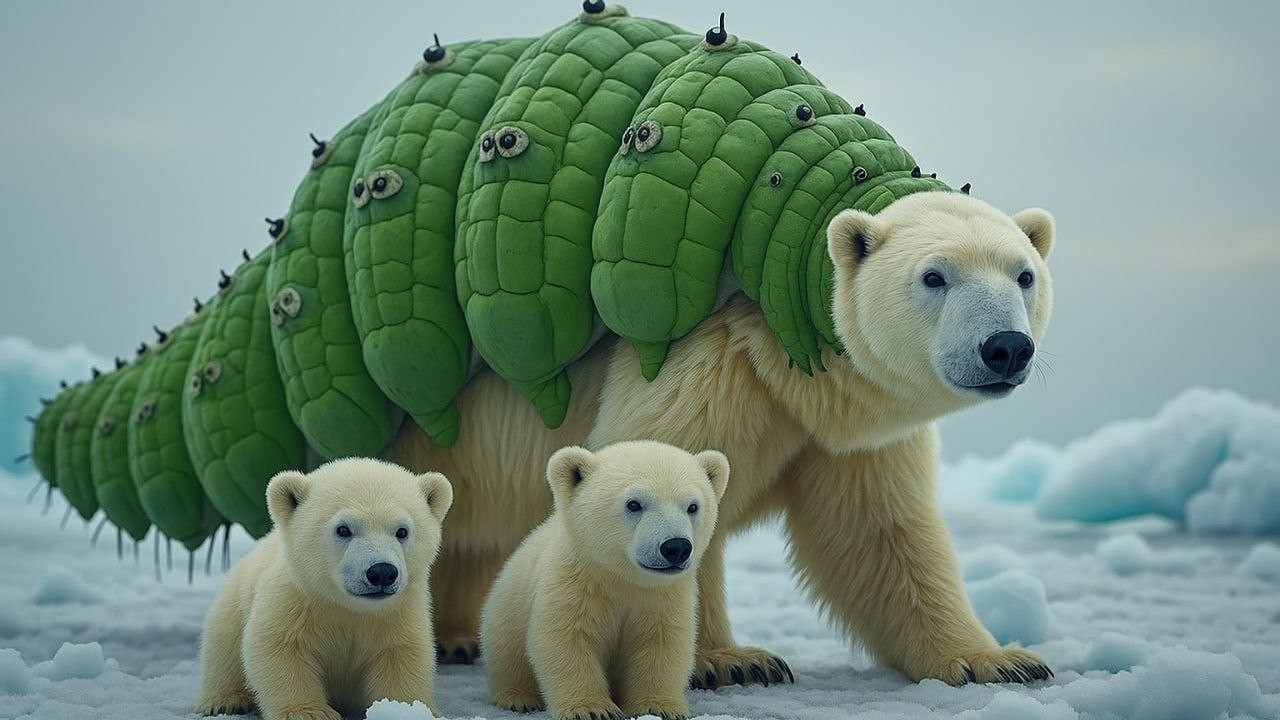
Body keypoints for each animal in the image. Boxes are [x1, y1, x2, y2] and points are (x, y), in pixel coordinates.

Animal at [195, 458, 454, 720]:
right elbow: (280, 647)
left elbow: (400, 655)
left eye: (402, 531)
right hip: (233, 603)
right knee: (223, 646)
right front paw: (307, 712)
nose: (382, 572)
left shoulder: (398, 613)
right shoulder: (295, 599)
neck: (348, 607)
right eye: (343, 529)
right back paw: (226, 700)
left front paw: (404, 709)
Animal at [396, 190, 1056, 687]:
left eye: (1025, 275)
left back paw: (458, 635)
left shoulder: (847, 434)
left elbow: (876, 533)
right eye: (934, 276)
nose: (1005, 347)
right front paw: (730, 663)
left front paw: (998, 661)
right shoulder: (712, 359)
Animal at [480, 441, 729, 720]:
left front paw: (660, 707)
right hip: (505, 614)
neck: (621, 578)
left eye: (692, 506)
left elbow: (661, 643)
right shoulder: (574, 584)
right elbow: (566, 639)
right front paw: (591, 709)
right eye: (634, 504)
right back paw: (519, 697)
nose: (676, 547)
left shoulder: (663, 596)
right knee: (508, 656)